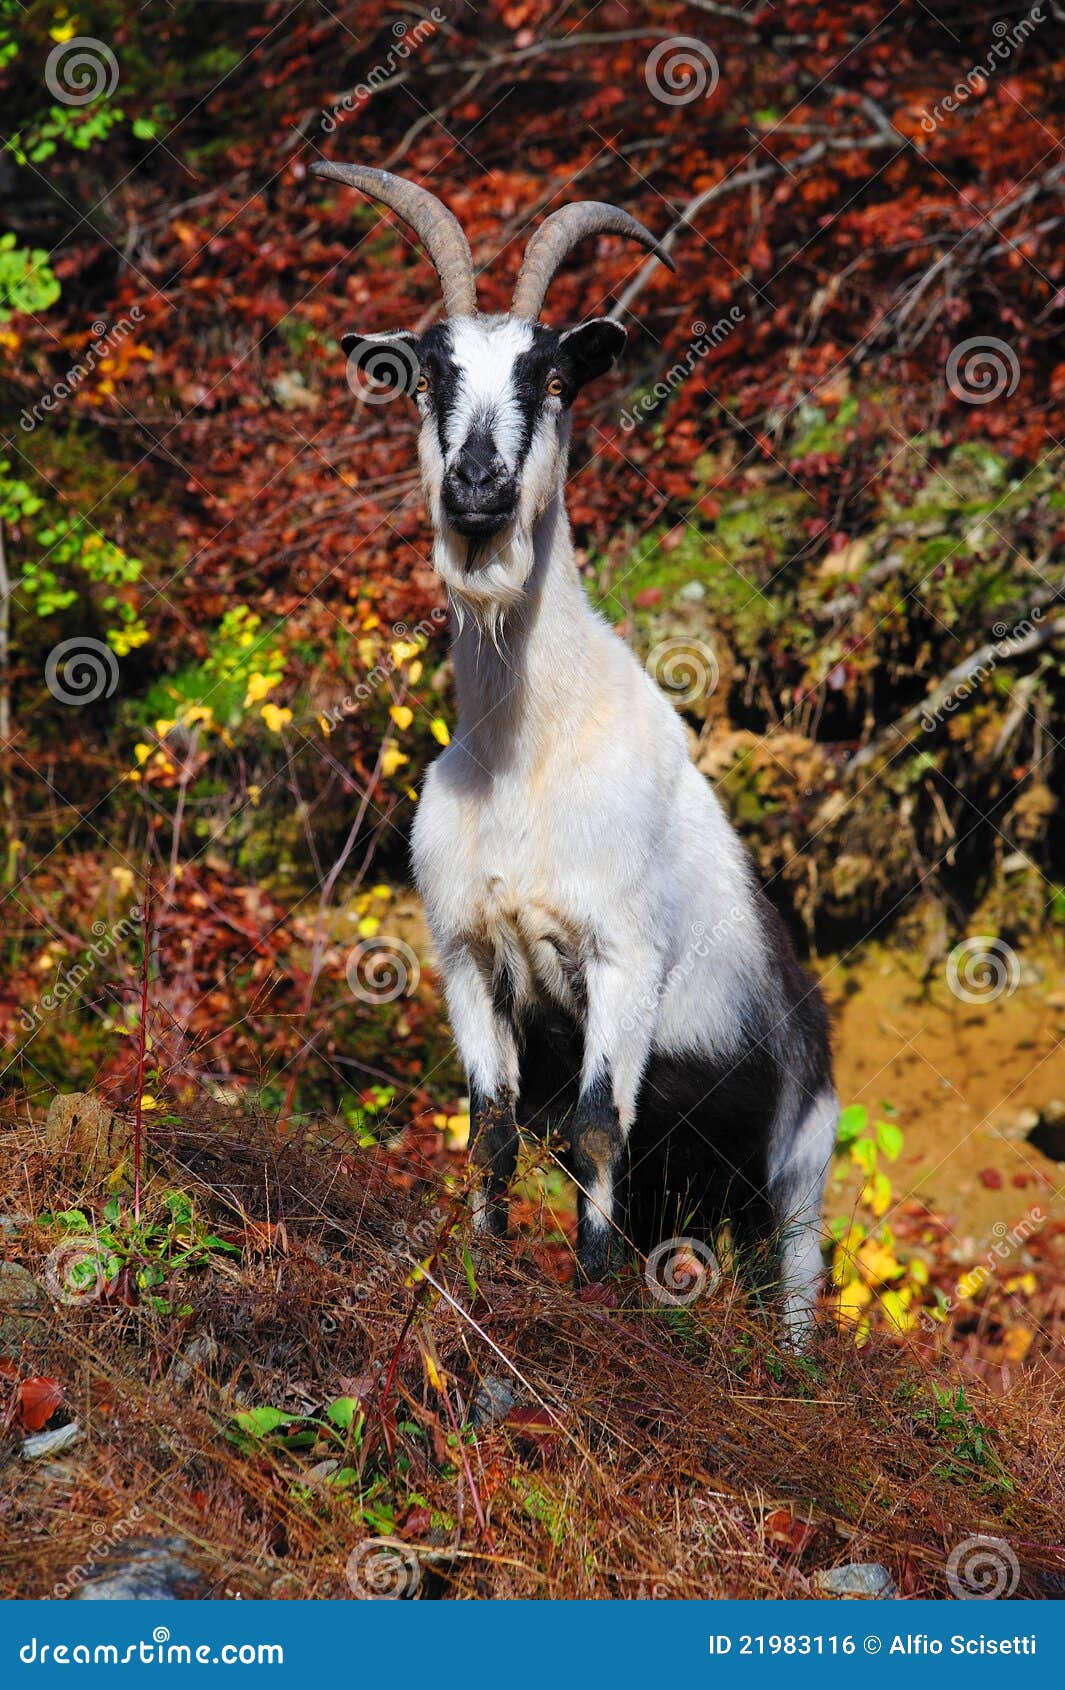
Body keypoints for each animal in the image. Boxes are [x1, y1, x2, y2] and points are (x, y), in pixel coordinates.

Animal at [314, 162, 838, 1340]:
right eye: (425, 375)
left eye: (552, 377)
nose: (477, 488)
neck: (526, 751)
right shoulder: (468, 952)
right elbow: (492, 1125)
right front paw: (482, 1264)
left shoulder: (624, 959)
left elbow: (602, 1122)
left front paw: (590, 1293)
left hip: (802, 1173)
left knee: (790, 1275)